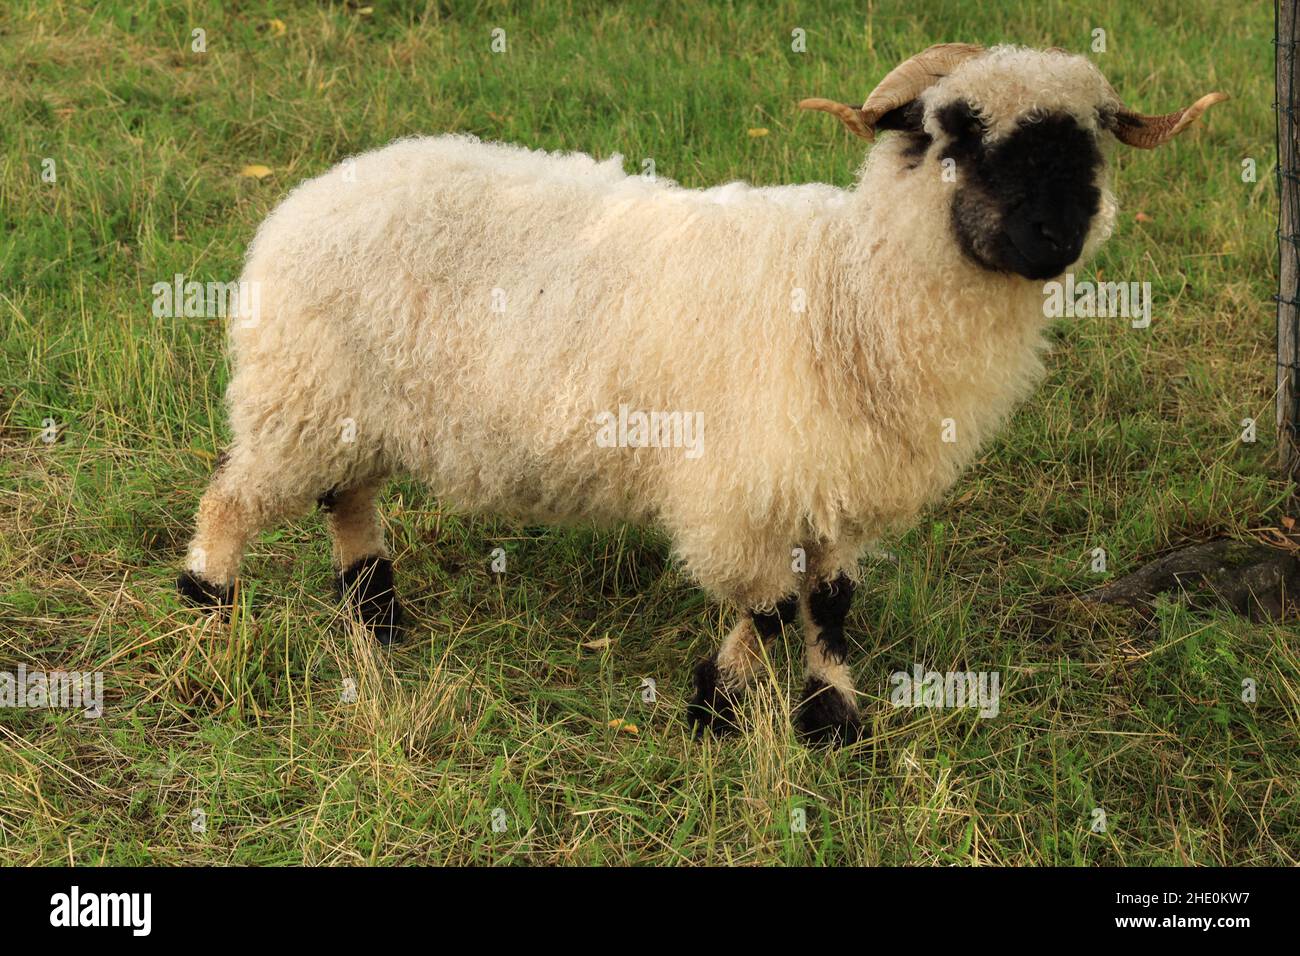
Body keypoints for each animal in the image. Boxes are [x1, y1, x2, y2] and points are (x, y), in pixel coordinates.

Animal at [177, 43, 1225, 745]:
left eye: (1092, 141)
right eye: (954, 134)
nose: (1058, 232)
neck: (847, 292)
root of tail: (318, 190)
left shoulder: (834, 480)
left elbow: (831, 602)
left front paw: (832, 718)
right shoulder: (739, 487)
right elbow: (767, 608)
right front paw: (716, 705)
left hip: (353, 405)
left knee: (346, 496)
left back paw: (375, 614)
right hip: (301, 391)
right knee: (236, 495)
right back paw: (210, 606)